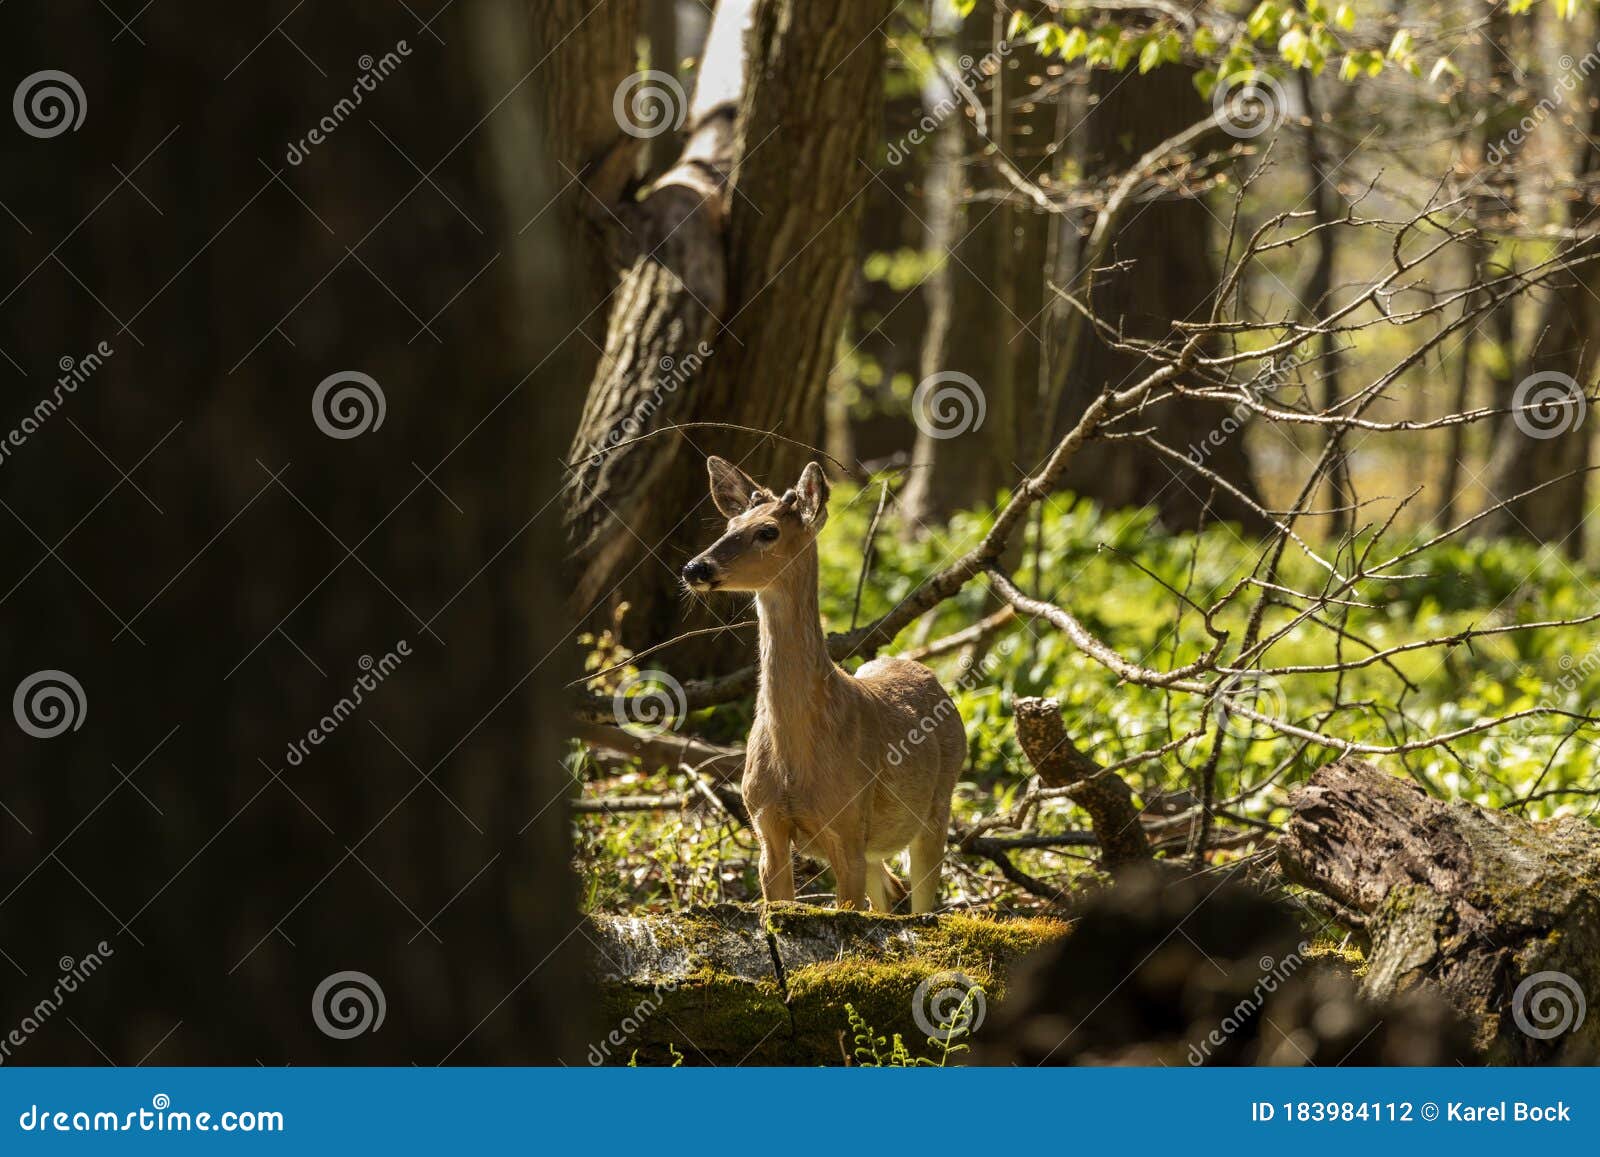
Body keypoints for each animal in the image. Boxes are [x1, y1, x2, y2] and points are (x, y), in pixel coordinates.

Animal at [681, 456, 965, 914]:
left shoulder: (846, 826)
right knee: (889, 893)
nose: (696, 568)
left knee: (922, 899)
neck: (796, 761)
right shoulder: (766, 826)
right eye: (729, 525)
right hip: (875, 843)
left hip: (936, 808)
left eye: (768, 531)